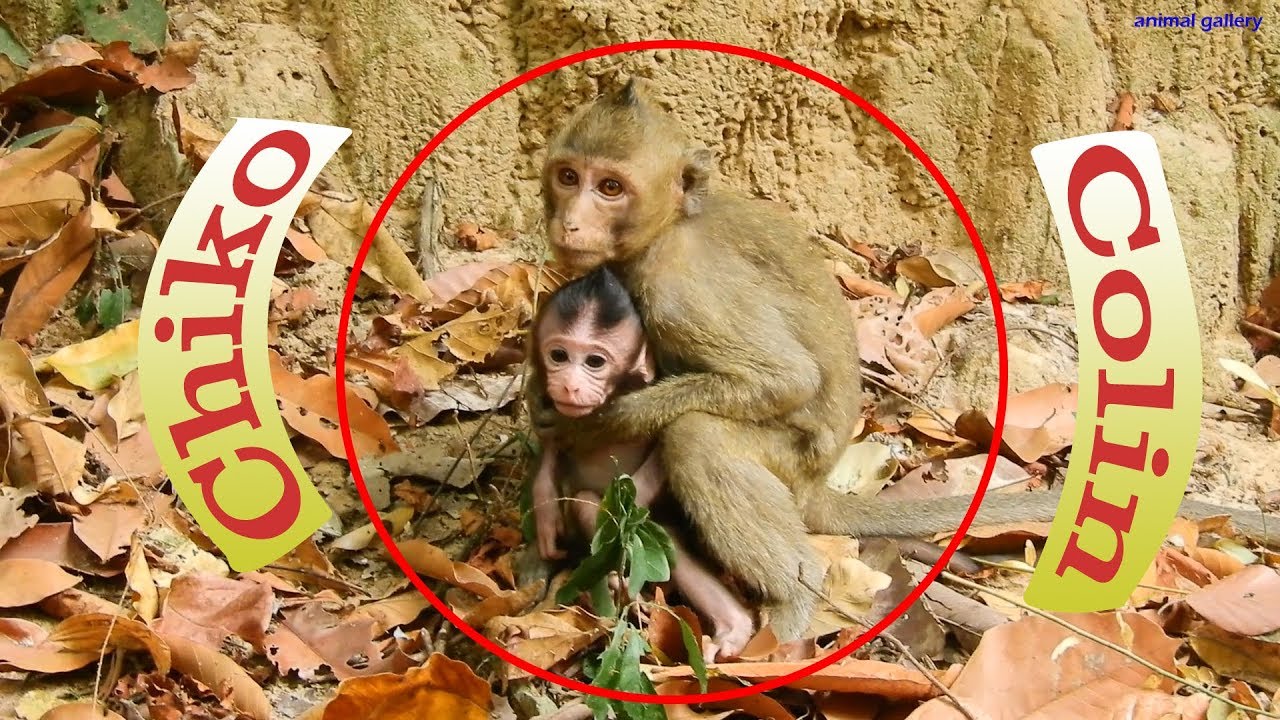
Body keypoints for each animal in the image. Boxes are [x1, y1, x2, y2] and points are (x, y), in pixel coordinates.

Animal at [528, 265, 756, 660]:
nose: (569, 385)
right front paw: (544, 506)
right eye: (558, 355)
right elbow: (553, 446)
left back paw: (731, 626)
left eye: (594, 362)